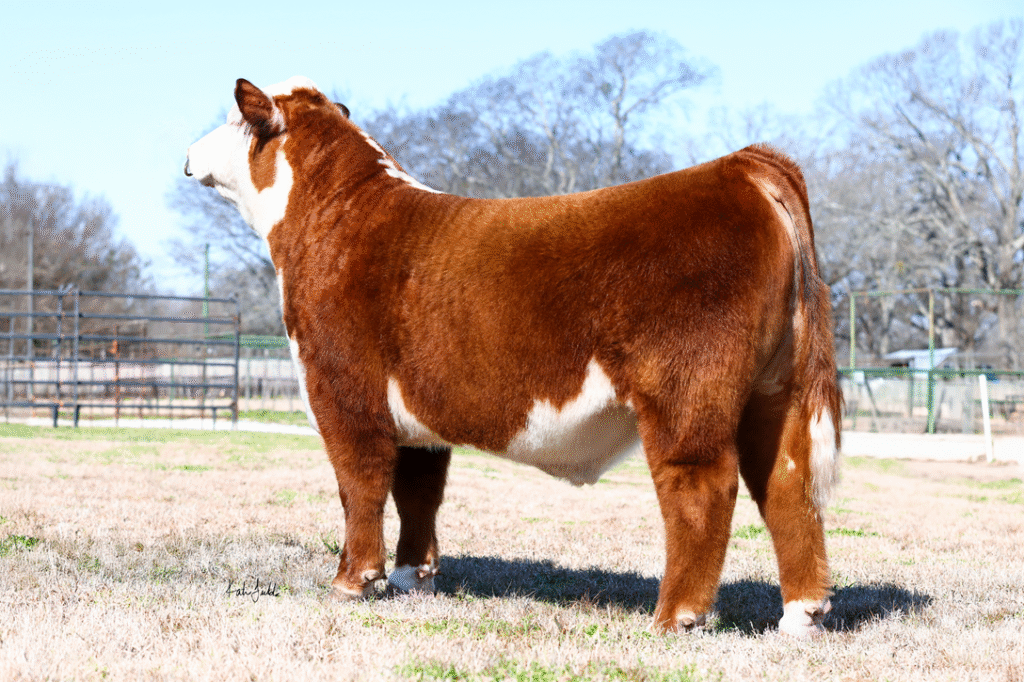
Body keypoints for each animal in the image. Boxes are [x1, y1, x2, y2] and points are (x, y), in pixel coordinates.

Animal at [185, 76, 843, 638]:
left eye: (232, 118)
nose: (188, 153)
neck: (339, 215)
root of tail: (741, 167)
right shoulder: (417, 415)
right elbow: (419, 491)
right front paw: (412, 579)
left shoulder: (342, 388)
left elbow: (361, 483)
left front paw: (353, 581)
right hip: (776, 392)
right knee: (786, 481)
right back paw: (802, 615)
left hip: (685, 393)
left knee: (702, 486)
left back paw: (674, 617)